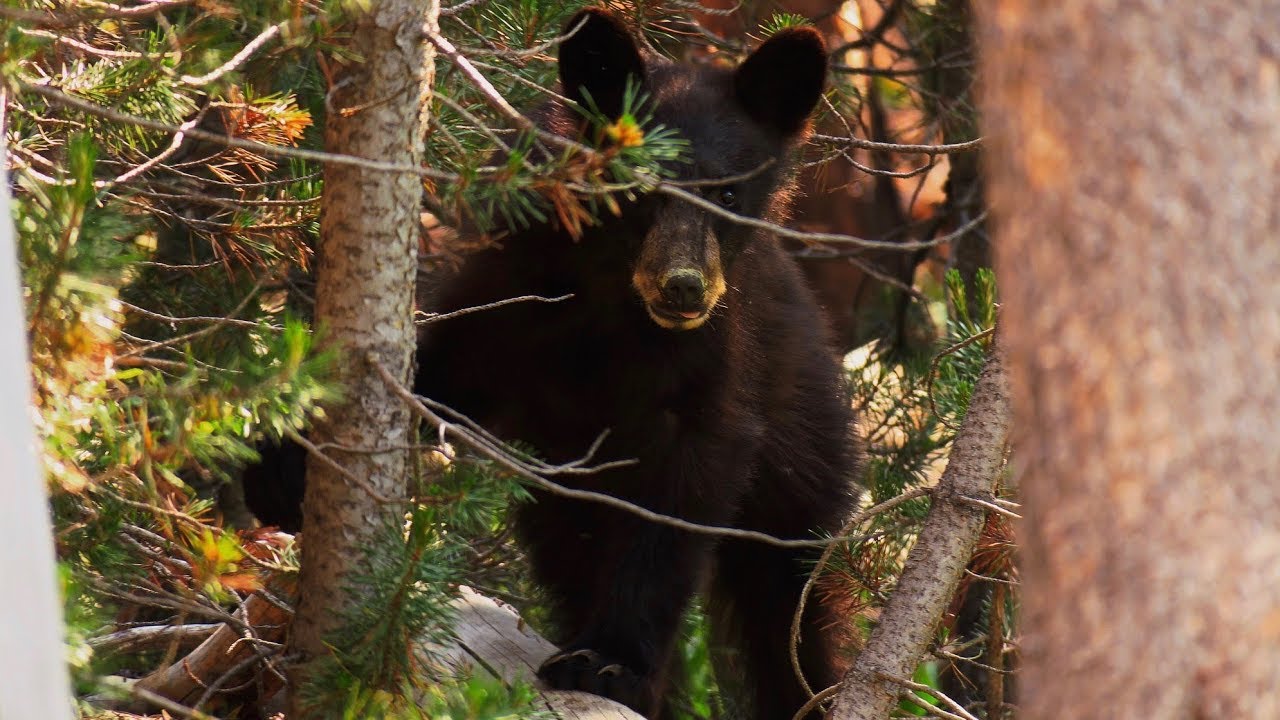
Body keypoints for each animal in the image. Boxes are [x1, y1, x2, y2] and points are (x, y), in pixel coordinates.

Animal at [410, 9, 859, 718]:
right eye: (640, 187)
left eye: (728, 193)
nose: (684, 288)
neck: (613, 302)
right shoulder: (513, 280)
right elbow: (444, 364)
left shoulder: (718, 364)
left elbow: (677, 506)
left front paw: (609, 661)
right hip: (559, 485)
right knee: (573, 557)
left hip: (802, 444)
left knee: (789, 601)